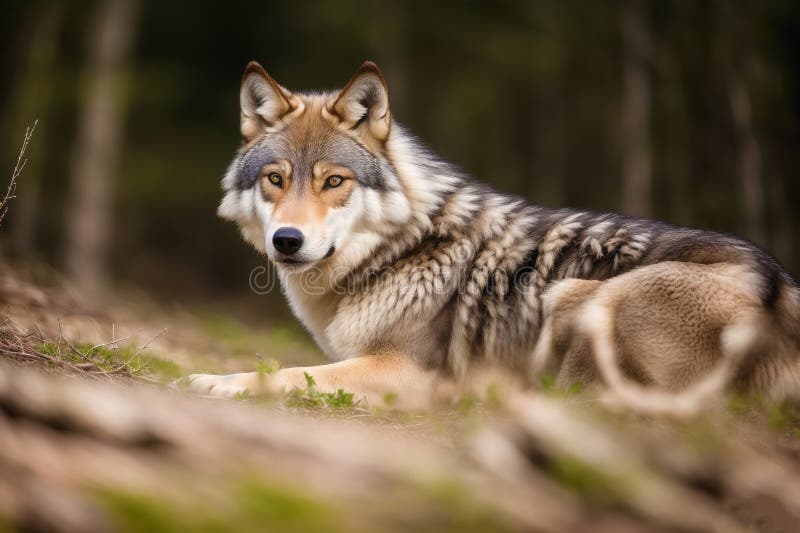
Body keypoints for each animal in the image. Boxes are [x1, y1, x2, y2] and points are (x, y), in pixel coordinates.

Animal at [188, 61, 800, 412]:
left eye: (333, 182)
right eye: (276, 179)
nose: (287, 241)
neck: (400, 249)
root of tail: (775, 290)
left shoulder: (405, 371)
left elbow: (290, 373)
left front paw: (219, 382)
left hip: (574, 294)